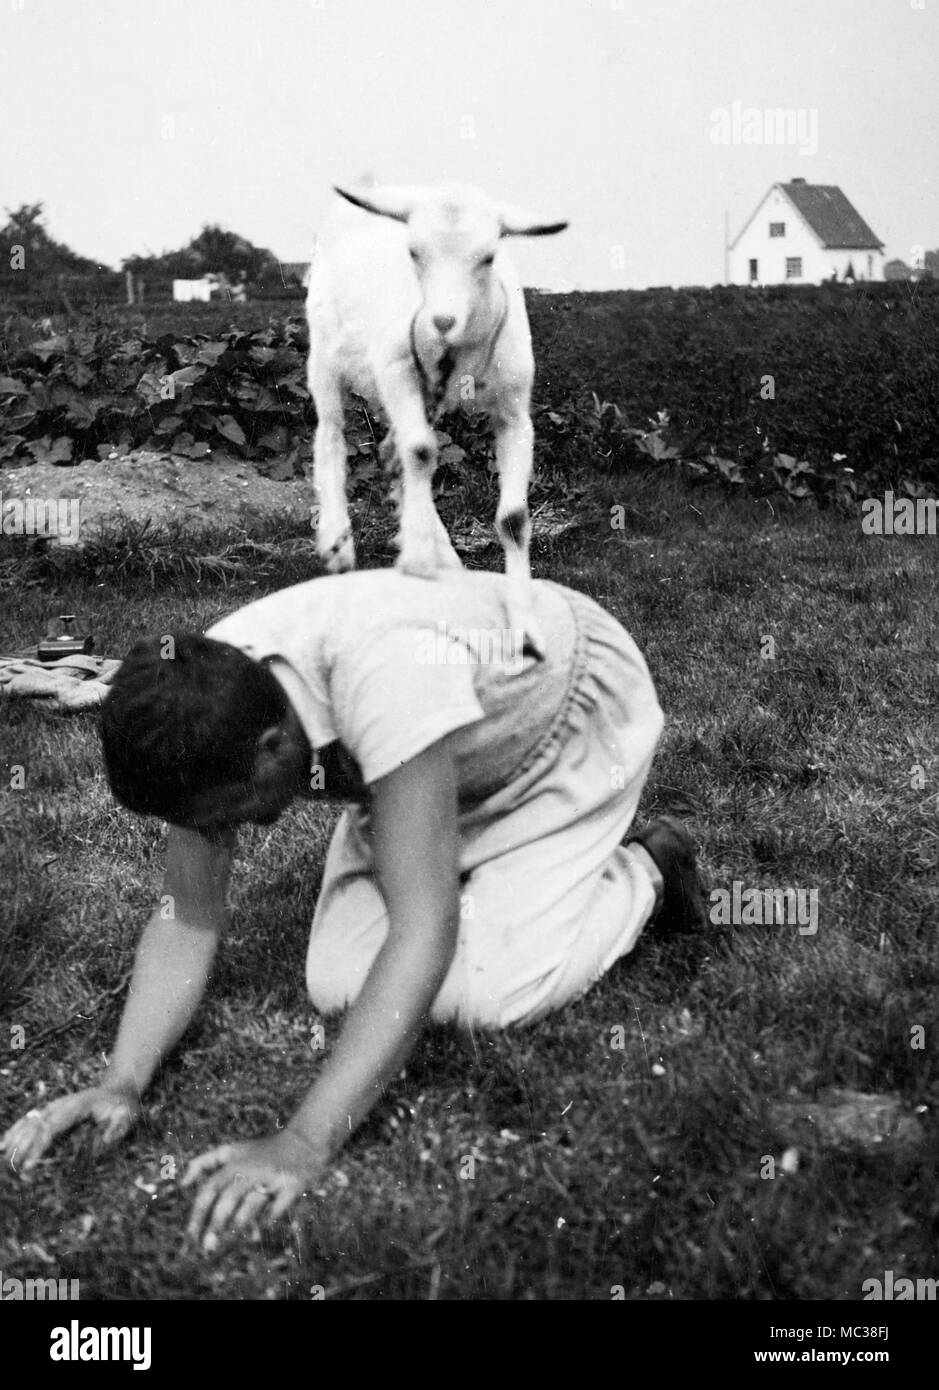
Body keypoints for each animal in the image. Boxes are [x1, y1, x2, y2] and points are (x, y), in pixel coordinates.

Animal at [306, 181, 567, 658]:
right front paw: (415, 557)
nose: (441, 321)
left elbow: (514, 518)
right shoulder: (396, 371)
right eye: (413, 252)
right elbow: (422, 452)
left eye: (488, 257)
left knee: (394, 452)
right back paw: (338, 542)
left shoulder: (515, 411)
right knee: (333, 435)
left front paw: (525, 631)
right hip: (325, 355)